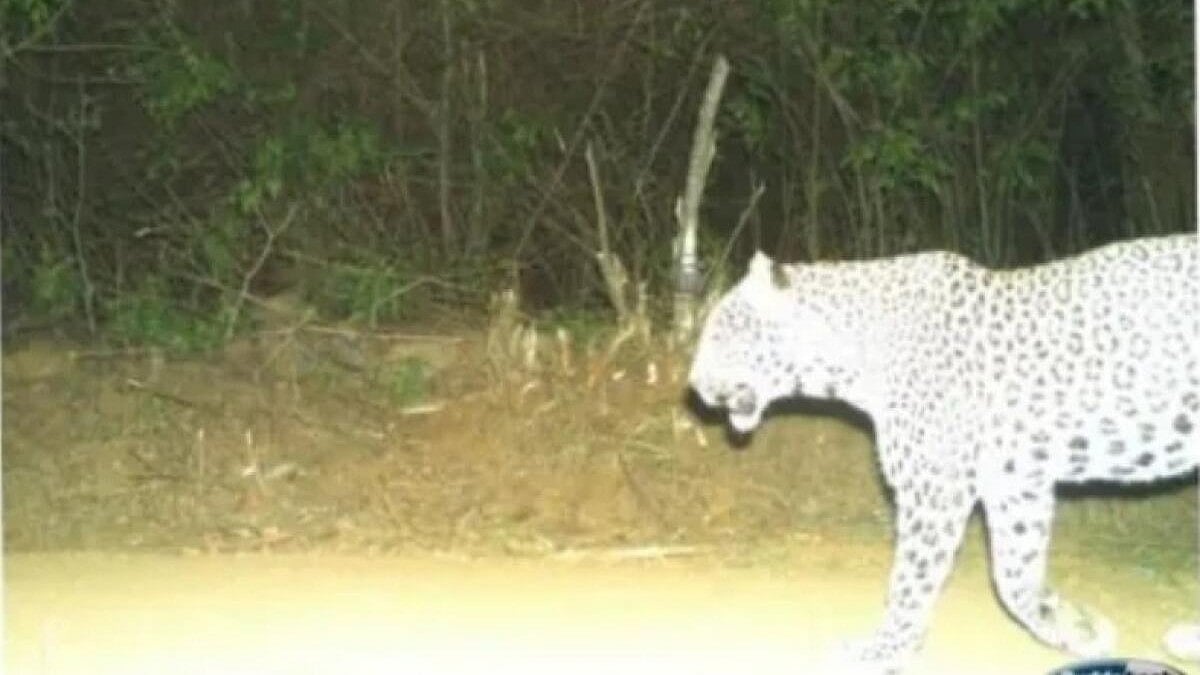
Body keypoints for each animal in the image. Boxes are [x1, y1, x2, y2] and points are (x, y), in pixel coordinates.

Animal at [687, 234, 1198, 673]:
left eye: (719, 330)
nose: (692, 385)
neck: (854, 355)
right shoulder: (1015, 484)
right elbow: (1015, 577)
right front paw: (1074, 626)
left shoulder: (934, 488)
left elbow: (910, 581)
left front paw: (882, 651)